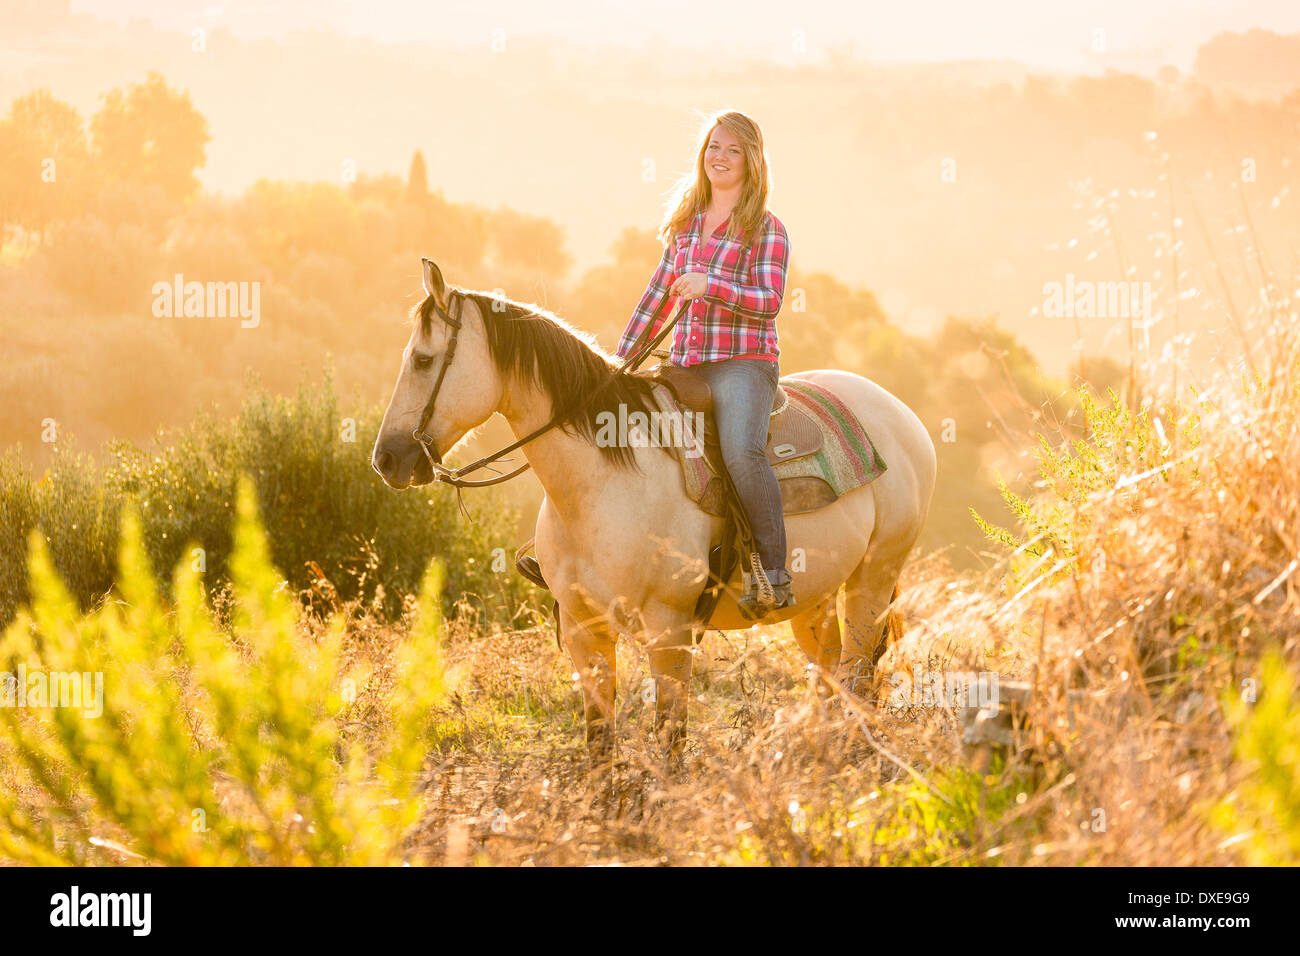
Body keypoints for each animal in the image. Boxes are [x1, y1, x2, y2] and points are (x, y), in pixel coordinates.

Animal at [372, 258, 937, 765]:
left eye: (422, 360)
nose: (387, 459)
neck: (602, 482)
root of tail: (902, 415)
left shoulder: (670, 630)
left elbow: (670, 739)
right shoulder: (583, 629)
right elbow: (599, 742)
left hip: (872, 582)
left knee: (857, 678)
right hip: (815, 598)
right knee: (829, 679)